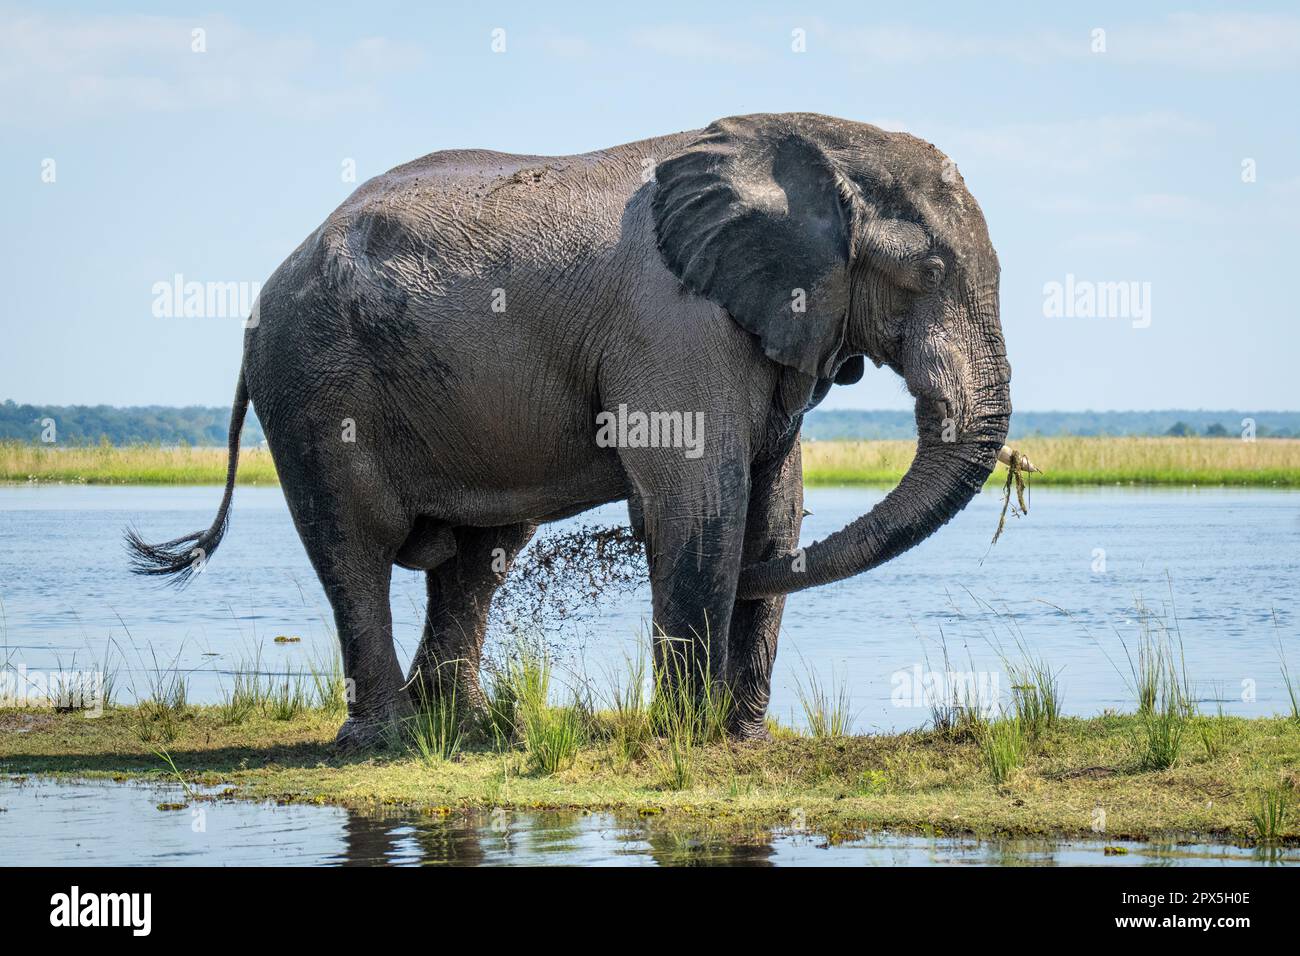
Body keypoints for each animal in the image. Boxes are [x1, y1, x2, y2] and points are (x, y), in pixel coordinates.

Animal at [127, 112, 1012, 749]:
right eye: (928, 273)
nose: (615, 542)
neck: (812, 145)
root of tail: (262, 295)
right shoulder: (675, 324)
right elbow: (702, 504)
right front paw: (688, 740)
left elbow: (774, 513)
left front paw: (744, 741)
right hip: (313, 382)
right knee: (355, 545)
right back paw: (387, 740)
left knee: (476, 559)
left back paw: (464, 728)